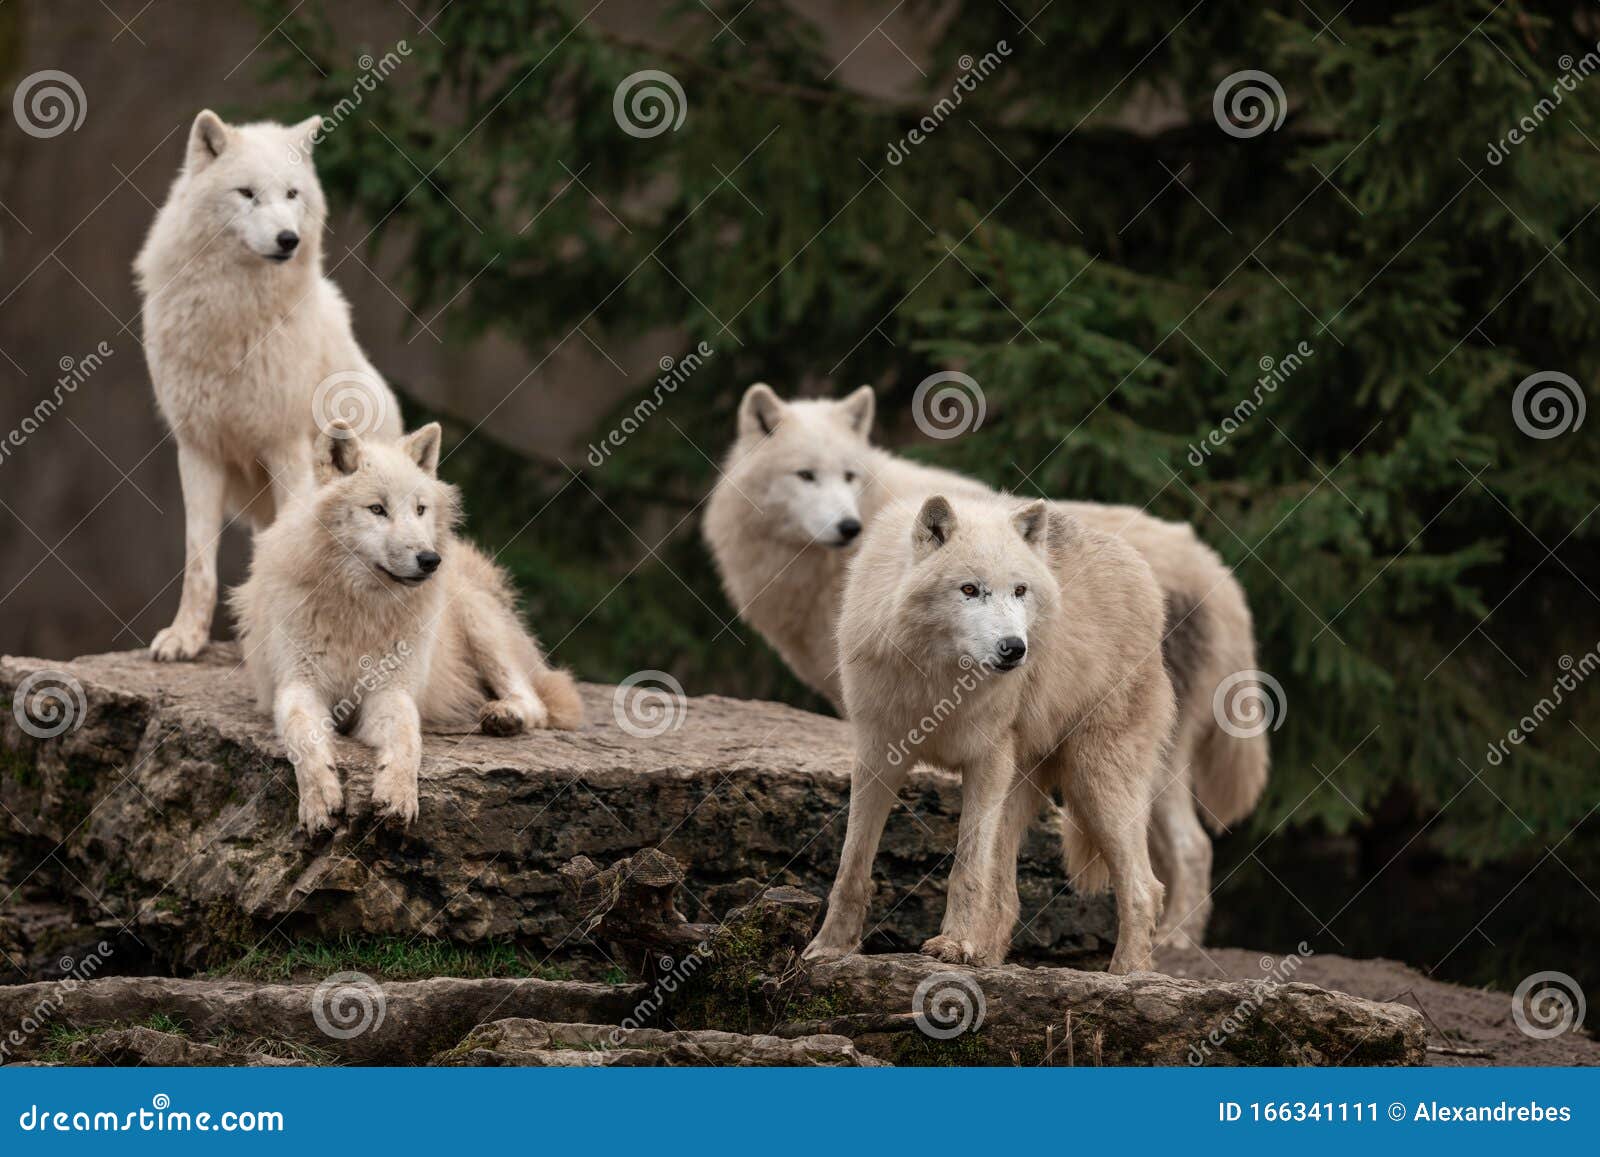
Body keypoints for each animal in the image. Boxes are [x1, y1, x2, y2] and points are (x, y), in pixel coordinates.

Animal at [136, 109, 400, 661]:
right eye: (247, 193)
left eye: (292, 194)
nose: (287, 239)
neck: (233, 314)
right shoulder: (197, 450)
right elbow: (198, 562)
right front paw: (185, 637)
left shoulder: (287, 448)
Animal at [231, 421, 583, 831]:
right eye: (377, 509)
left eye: (419, 509)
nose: (430, 559)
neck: (361, 608)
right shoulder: (298, 687)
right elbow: (302, 736)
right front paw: (320, 799)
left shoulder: (390, 692)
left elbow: (406, 737)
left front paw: (398, 794)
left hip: (478, 625)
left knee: (536, 703)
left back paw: (504, 716)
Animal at [804, 494, 1175, 973]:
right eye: (968, 590)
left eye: (1019, 591)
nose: (1015, 648)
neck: (940, 682)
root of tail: (1141, 570)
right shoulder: (877, 755)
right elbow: (852, 865)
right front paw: (830, 948)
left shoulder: (986, 761)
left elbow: (967, 866)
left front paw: (953, 944)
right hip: (1026, 785)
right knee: (1008, 896)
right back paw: (988, 958)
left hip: (1093, 782)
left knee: (1145, 888)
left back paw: (1126, 974)